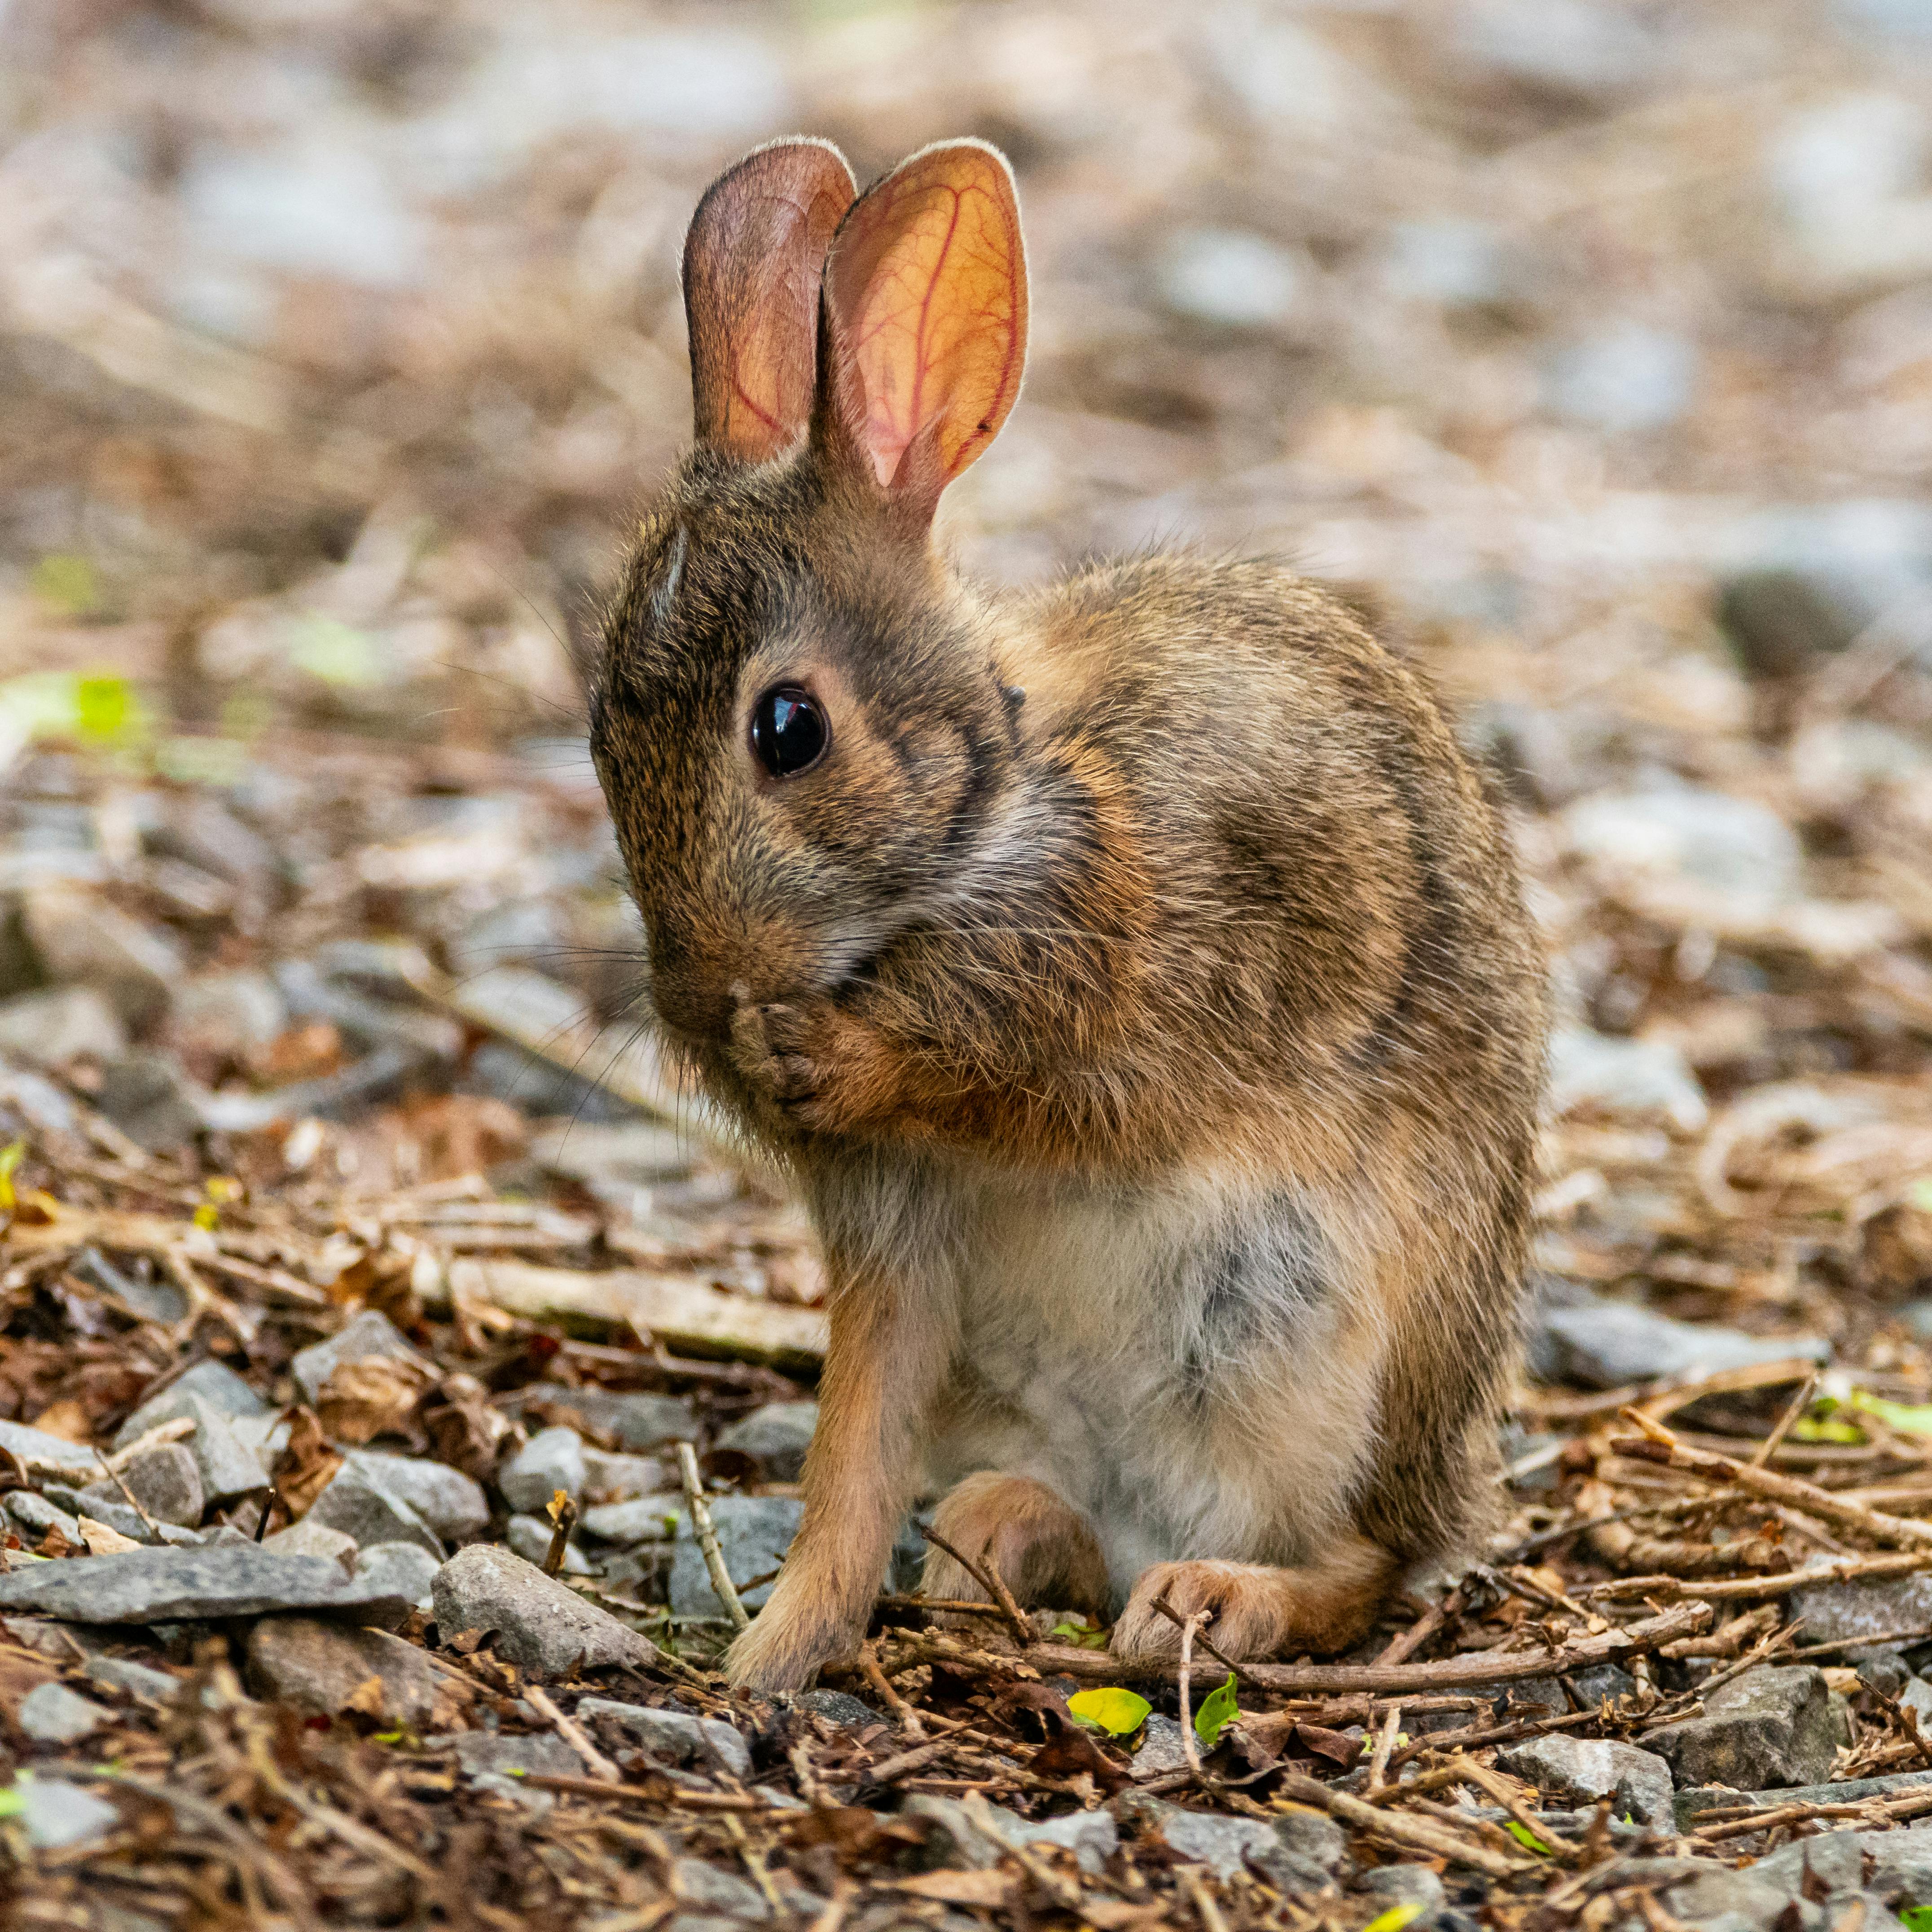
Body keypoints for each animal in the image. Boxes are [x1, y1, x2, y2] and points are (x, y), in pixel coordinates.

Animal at [588, 135, 1549, 1692]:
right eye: (597, 728)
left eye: (786, 729)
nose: (694, 1000)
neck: (988, 805)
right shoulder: (895, 1234)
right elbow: (850, 1458)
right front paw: (776, 1655)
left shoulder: (1138, 999)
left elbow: (1040, 1089)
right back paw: (1000, 1544)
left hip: (1352, 1343)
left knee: (1364, 1563)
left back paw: (1213, 1603)